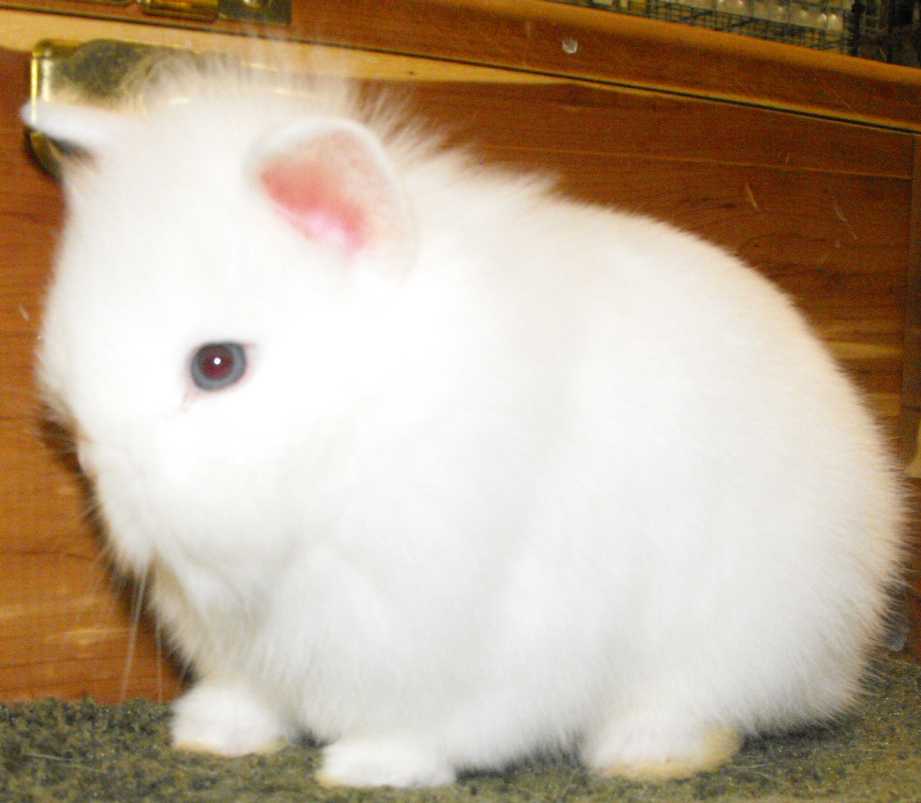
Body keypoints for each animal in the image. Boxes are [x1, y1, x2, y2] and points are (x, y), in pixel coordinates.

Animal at [23, 62, 905, 788]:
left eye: (217, 365)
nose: (99, 469)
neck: (356, 435)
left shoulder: (478, 634)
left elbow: (430, 723)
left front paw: (369, 767)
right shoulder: (252, 645)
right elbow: (250, 695)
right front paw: (212, 734)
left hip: (738, 631)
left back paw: (643, 755)